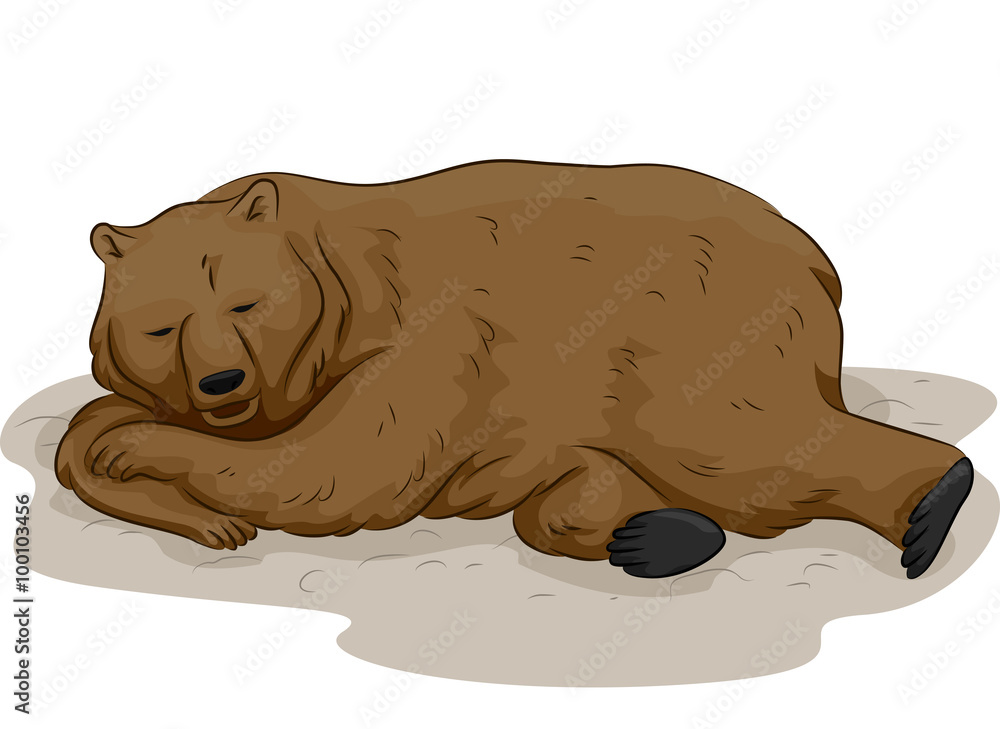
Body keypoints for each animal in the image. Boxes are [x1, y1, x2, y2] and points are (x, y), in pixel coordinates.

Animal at [55, 160, 973, 579]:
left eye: (245, 303)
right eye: (162, 324)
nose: (220, 383)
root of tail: (820, 262)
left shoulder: (431, 332)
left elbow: (335, 472)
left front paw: (136, 448)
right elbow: (554, 471)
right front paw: (644, 524)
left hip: (701, 321)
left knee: (740, 446)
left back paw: (934, 505)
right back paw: (659, 532)